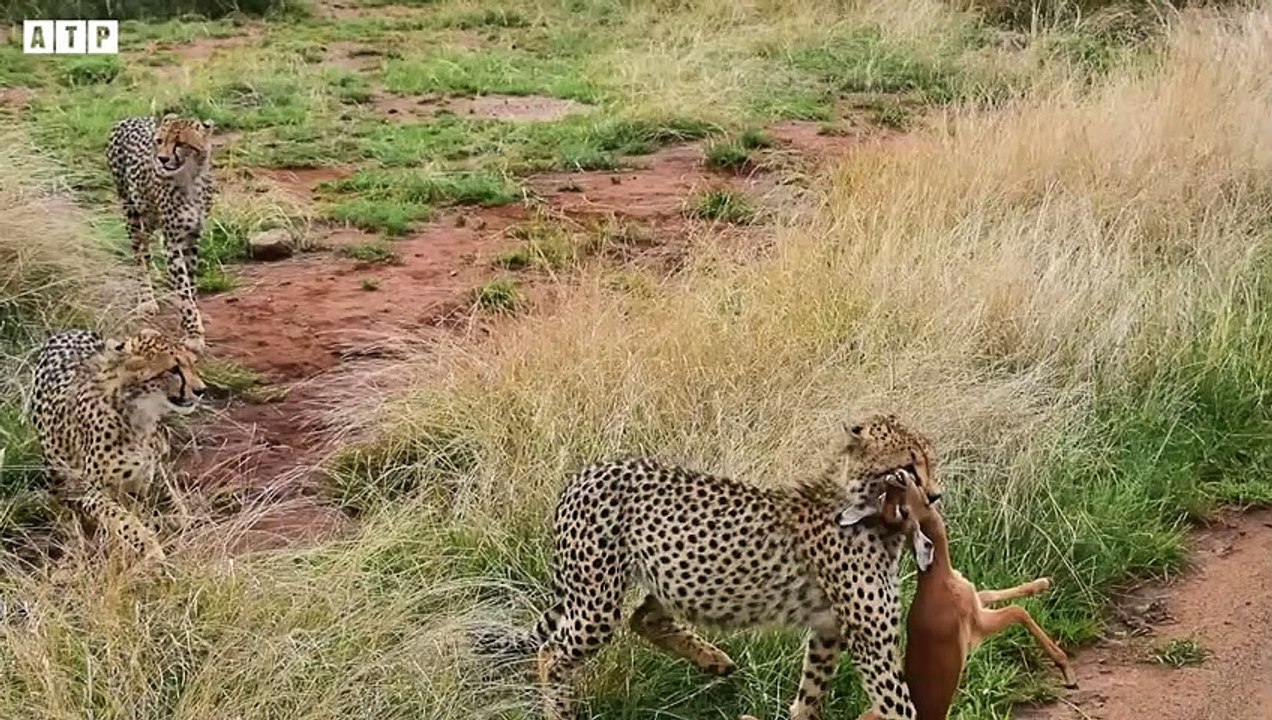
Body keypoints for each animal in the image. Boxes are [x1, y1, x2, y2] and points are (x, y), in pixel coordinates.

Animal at [26, 328, 206, 563]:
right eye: (173, 369)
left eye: (192, 364)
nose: (201, 390)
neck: (138, 414)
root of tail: (68, 331)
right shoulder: (92, 492)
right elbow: (124, 519)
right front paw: (151, 549)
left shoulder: (144, 480)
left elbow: (160, 500)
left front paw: (178, 520)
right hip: (56, 468)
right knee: (62, 504)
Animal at [106, 113, 217, 353]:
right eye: (159, 141)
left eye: (181, 143)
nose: (163, 159)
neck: (189, 179)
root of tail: (128, 118)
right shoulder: (172, 241)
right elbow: (183, 288)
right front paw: (193, 333)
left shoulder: (192, 237)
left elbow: (190, 284)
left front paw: (190, 322)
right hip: (132, 213)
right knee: (140, 254)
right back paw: (147, 298)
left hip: (148, 217)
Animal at [470, 413, 943, 720]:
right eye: (906, 466)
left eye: (930, 459)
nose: (935, 497)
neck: (865, 507)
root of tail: (585, 472)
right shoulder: (870, 638)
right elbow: (898, 704)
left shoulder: (828, 629)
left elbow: (811, 694)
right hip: (597, 603)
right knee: (552, 654)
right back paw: (561, 711)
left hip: (679, 577)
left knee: (643, 617)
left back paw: (715, 660)